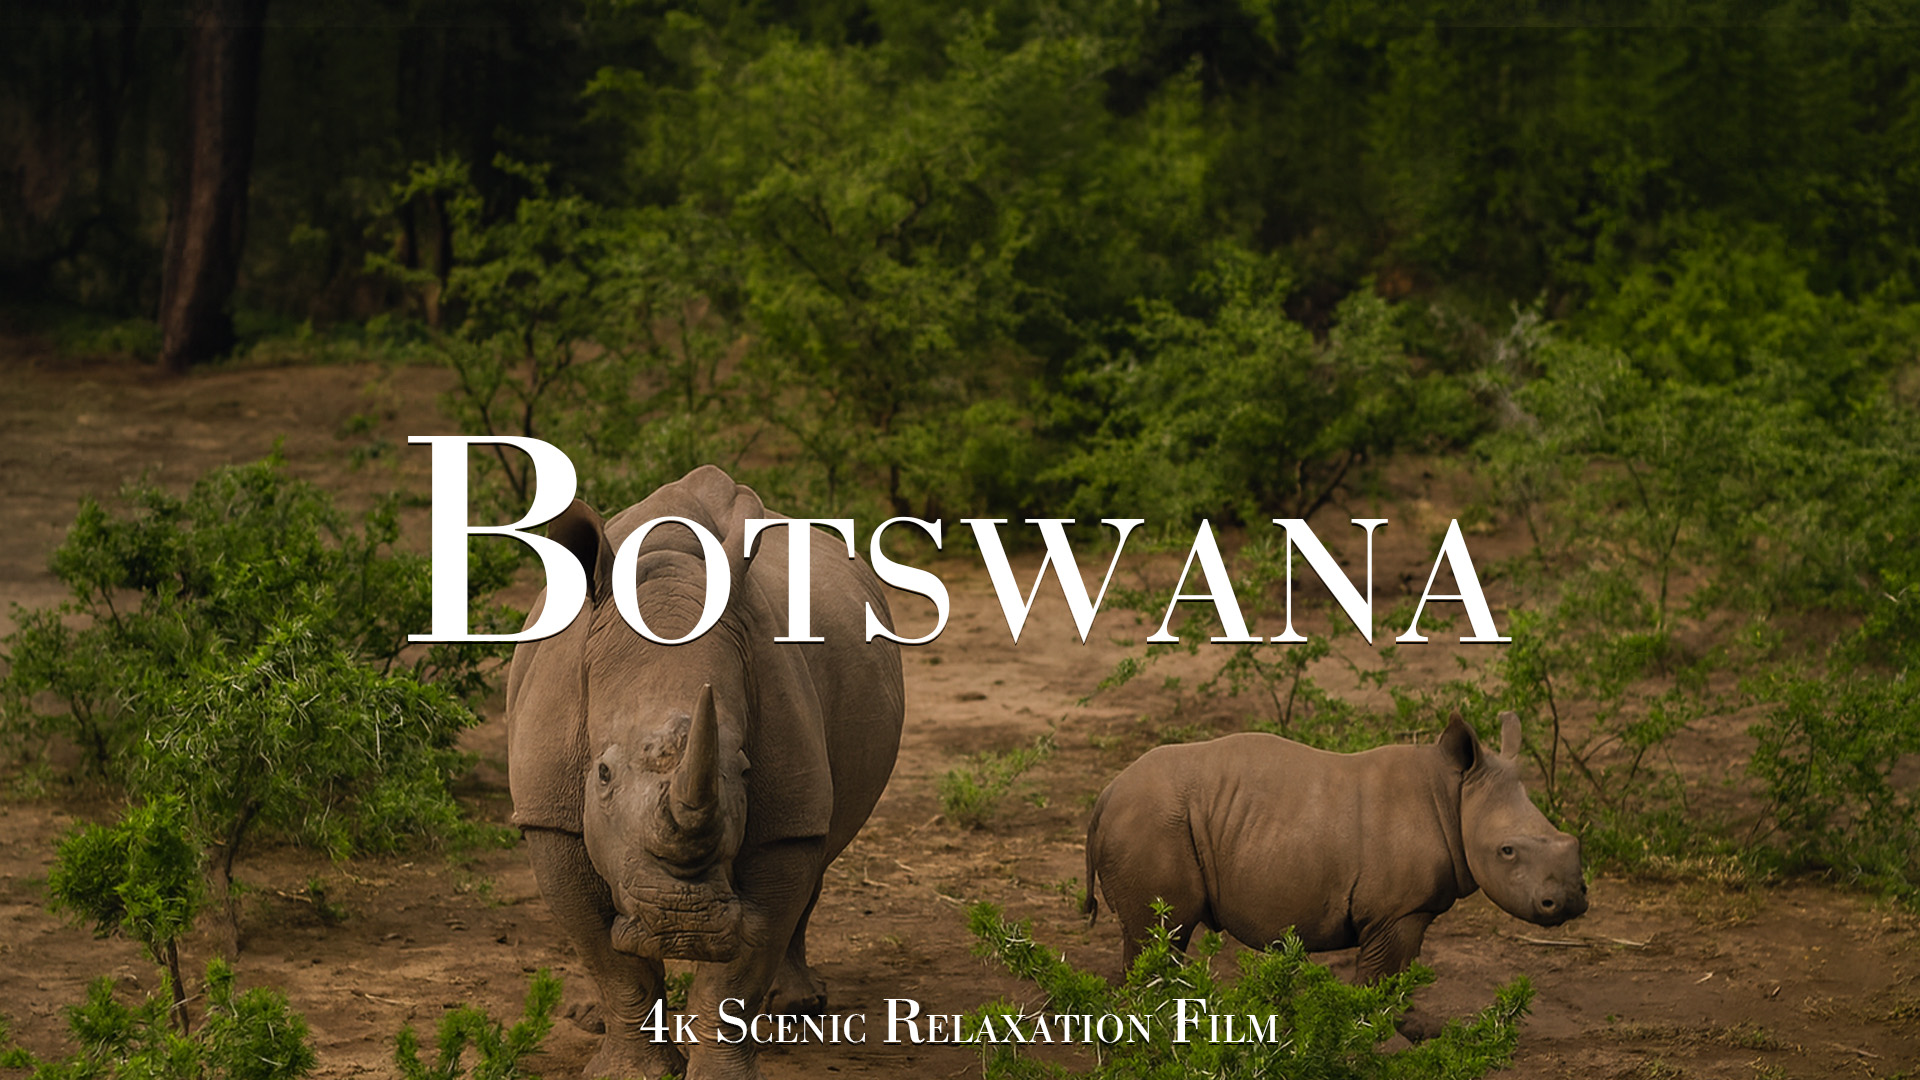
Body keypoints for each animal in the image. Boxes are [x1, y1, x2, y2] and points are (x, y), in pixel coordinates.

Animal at [506, 466, 904, 1080]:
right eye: (602, 773)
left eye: (743, 769)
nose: (681, 921)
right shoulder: (549, 813)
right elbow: (606, 956)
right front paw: (628, 1071)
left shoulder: (788, 815)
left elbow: (741, 964)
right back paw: (587, 1018)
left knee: (820, 856)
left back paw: (796, 1008)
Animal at [1083, 712, 1585, 1038]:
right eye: (1507, 852)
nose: (1571, 900)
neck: (1454, 794)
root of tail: (1106, 792)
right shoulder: (1394, 912)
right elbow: (1381, 978)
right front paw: (1375, 1038)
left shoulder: (1409, 911)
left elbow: (1398, 978)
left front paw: (1413, 1031)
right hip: (1152, 821)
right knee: (1159, 934)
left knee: (1162, 938)